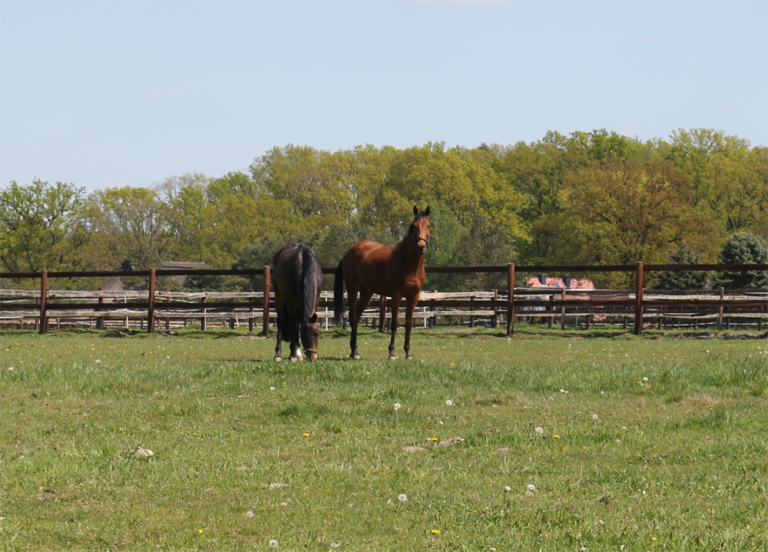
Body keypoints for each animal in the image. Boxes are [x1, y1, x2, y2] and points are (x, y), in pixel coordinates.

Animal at [334, 206, 430, 360]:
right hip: (352, 289)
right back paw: (355, 352)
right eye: (414, 226)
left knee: (357, 316)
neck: (410, 264)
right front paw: (392, 353)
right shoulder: (396, 296)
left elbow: (408, 324)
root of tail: (348, 253)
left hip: (367, 292)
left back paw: (354, 350)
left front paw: (408, 353)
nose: (421, 246)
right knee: (353, 316)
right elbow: (395, 323)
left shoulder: (414, 297)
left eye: (428, 225)